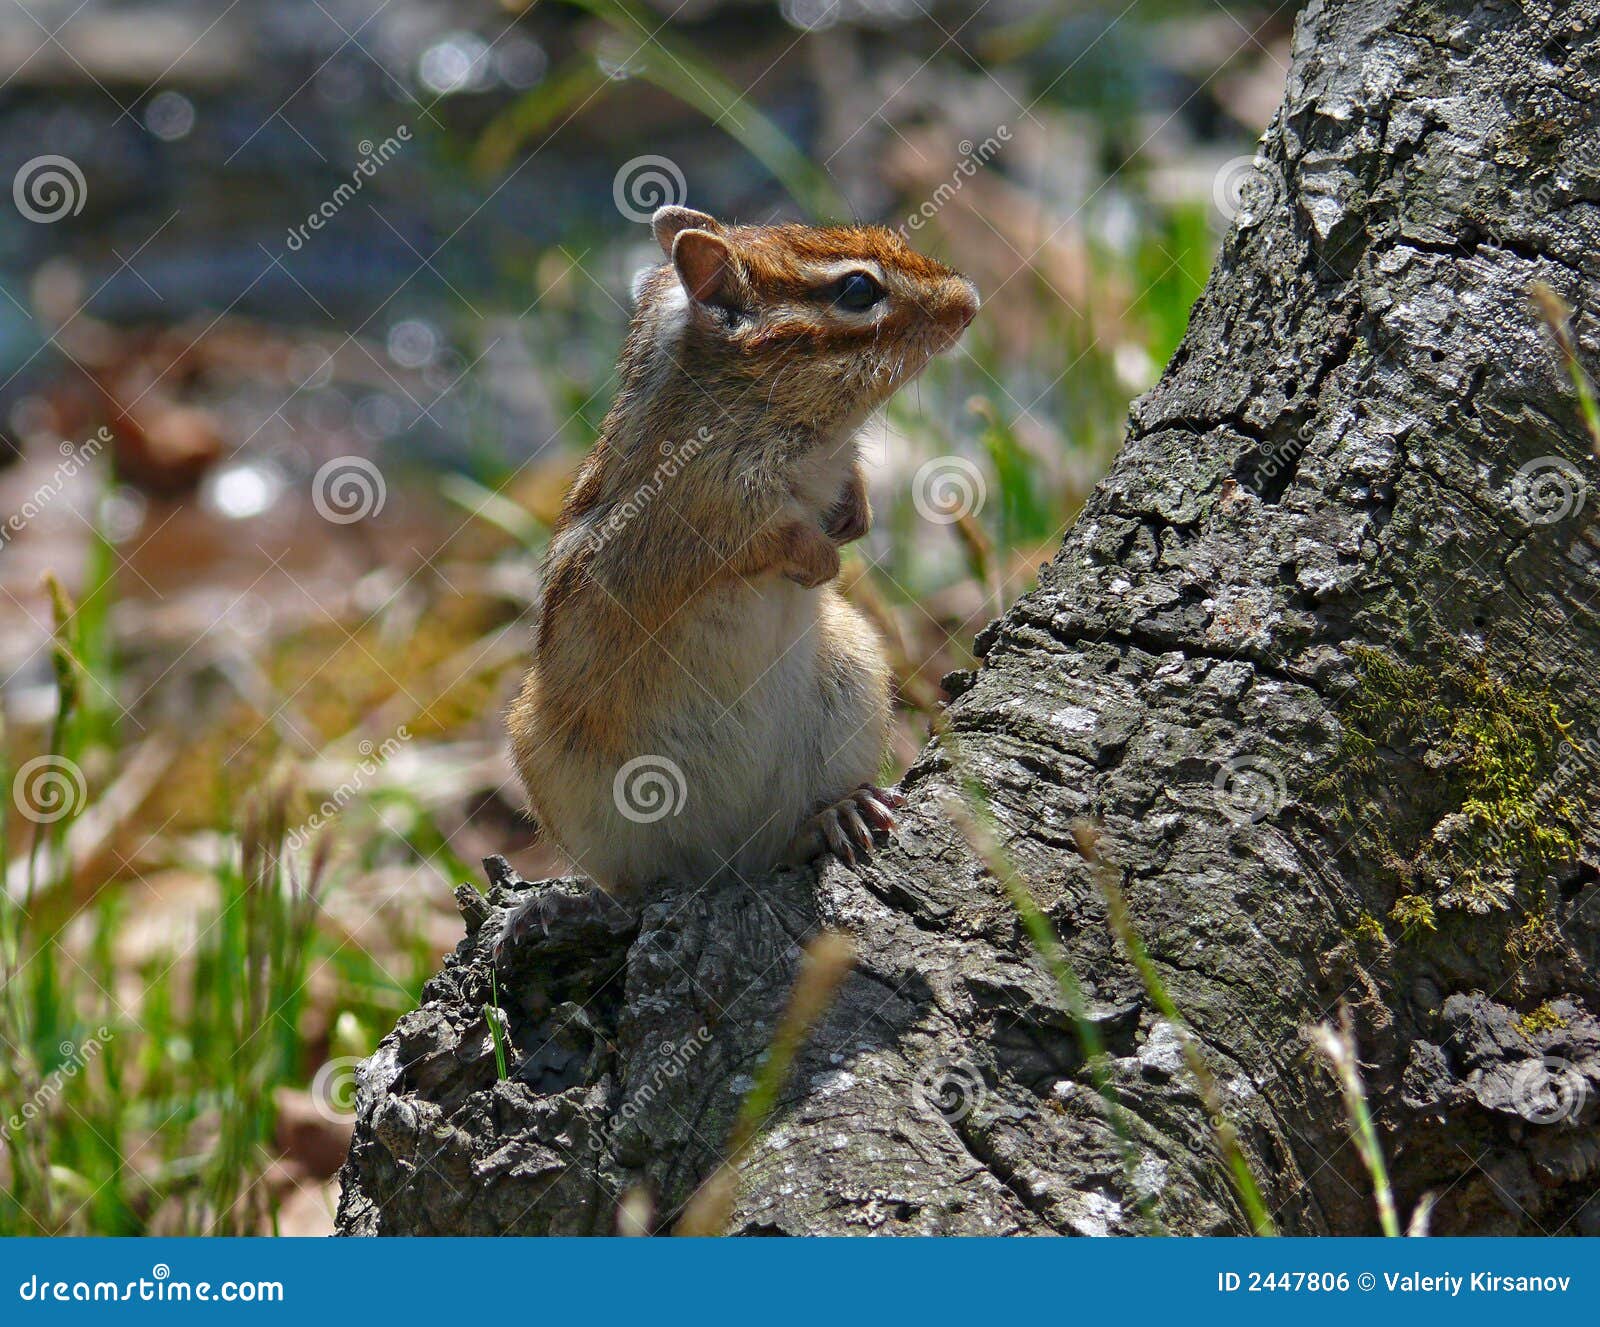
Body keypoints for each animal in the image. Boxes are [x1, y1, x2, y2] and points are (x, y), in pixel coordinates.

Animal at [500, 204, 978, 950]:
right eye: (858, 291)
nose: (970, 299)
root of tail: (728, 862)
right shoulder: (699, 505)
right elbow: (764, 540)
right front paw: (821, 558)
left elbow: (848, 496)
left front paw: (853, 518)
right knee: (638, 882)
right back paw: (569, 906)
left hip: (851, 681)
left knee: (789, 836)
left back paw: (837, 812)